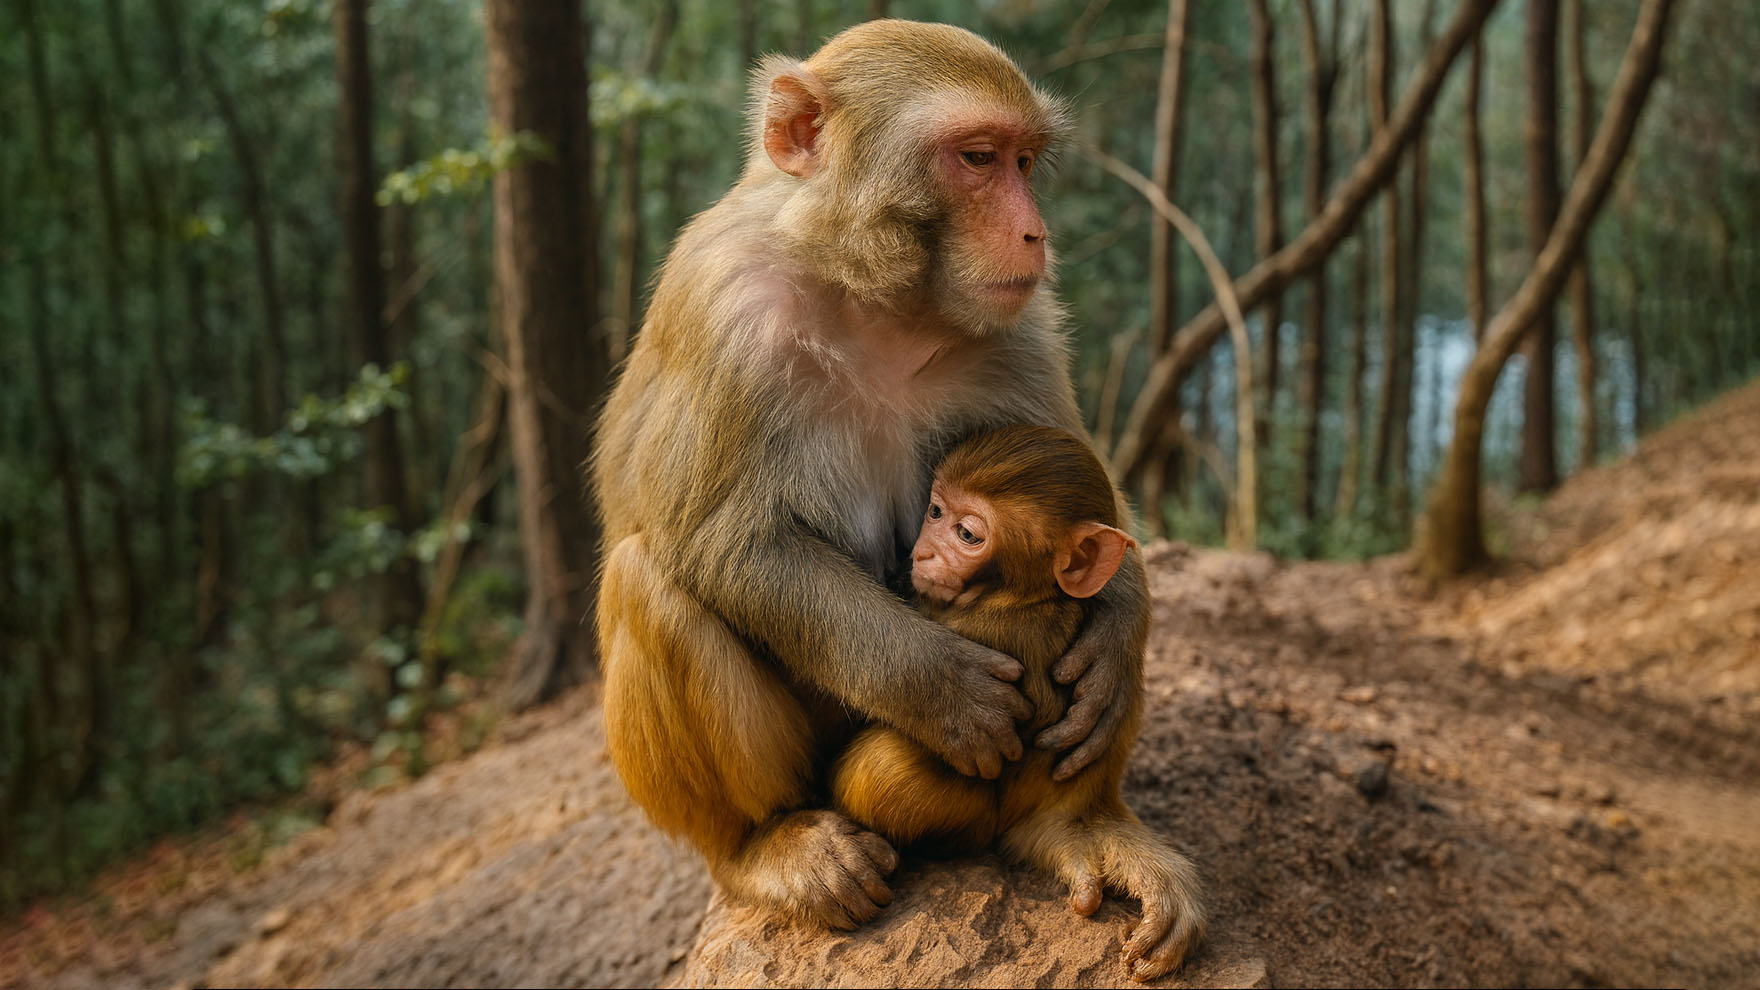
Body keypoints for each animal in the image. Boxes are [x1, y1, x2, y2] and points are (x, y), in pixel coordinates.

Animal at [592, 20, 1154, 933]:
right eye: (976, 158)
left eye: (1025, 161)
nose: (1036, 235)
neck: (877, 303)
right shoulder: (721, 302)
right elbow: (721, 542)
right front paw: (936, 685)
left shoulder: (1022, 323)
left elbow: (1095, 511)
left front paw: (1115, 638)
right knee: (651, 578)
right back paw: (762, 845)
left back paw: (1071, 827)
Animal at [830, 425, 1205, 981]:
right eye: (935, 512)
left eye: (968, 535)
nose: (924, 555)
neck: (1026, 598)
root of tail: (1046, 818)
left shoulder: (963, 622)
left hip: (974, 819)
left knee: (881, 763)